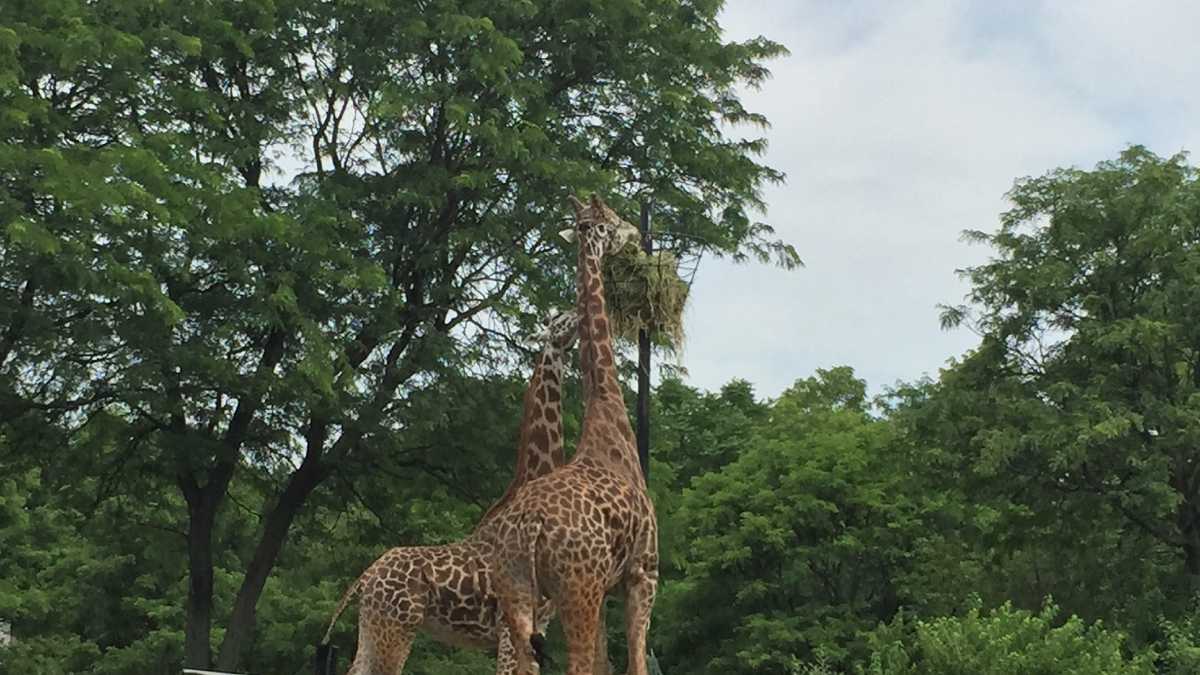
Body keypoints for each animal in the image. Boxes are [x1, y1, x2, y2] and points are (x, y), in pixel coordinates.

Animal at [318, 308, 581, 674]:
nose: (579, 313)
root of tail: (364, 579)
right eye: (557, 322)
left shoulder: (539, 626)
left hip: (372, 625)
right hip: (395, 627)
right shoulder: (510, 627)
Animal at [477, 194, 659, 675]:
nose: (635, 233)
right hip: (575, 592)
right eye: (611, 219)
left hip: (525, 601)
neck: (608, 412)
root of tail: (529, 528)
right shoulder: (643, 572)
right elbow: (635, 662)